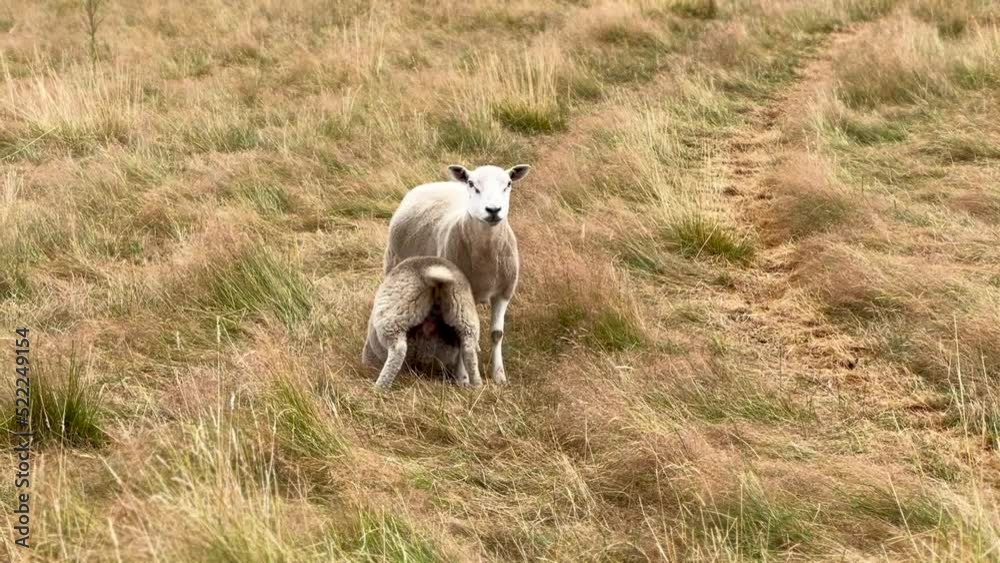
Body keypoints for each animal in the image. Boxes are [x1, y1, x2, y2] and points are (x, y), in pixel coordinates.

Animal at [363, 256, 480, 389]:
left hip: (395, 317)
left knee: (398, 350)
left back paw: (381, 386)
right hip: (464, 315)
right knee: (470, 352)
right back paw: (477, 385)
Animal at [383, 164, 530, 385]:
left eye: (508, 184)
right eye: (471, 183)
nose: (493, 210)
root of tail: (433, 184)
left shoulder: (504, 292)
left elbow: (497, 334)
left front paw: (499, 376)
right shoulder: (457, 293)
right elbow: (460, 333)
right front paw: (463, 379)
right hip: (394, 264)